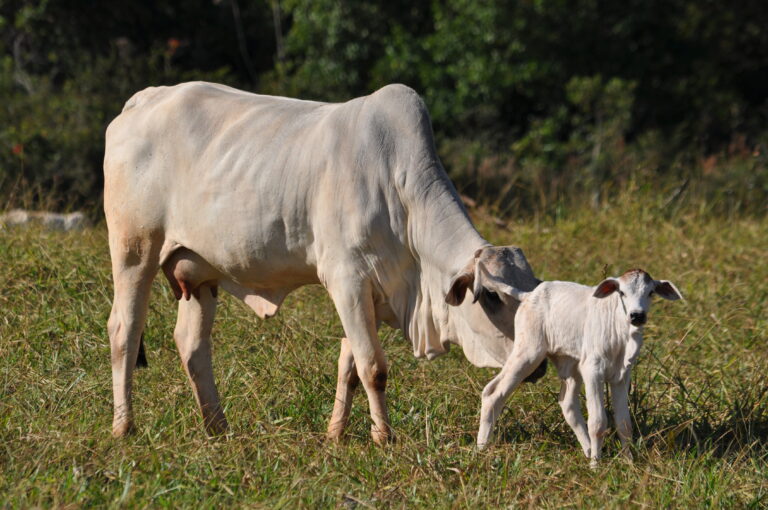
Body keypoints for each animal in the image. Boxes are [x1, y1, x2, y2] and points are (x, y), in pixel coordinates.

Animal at [103, 82, 544, 442]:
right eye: (491, 298)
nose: (536, 367)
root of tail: (142, 100)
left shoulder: (370, 293)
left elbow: (349, 364)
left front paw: (336, 434)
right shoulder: (347, 280)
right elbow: (373, 367)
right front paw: (384, 437)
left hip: (199, 273)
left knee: (192, 344)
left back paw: (217, 427)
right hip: (134, 249)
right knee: (125, 329)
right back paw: (124, 427)